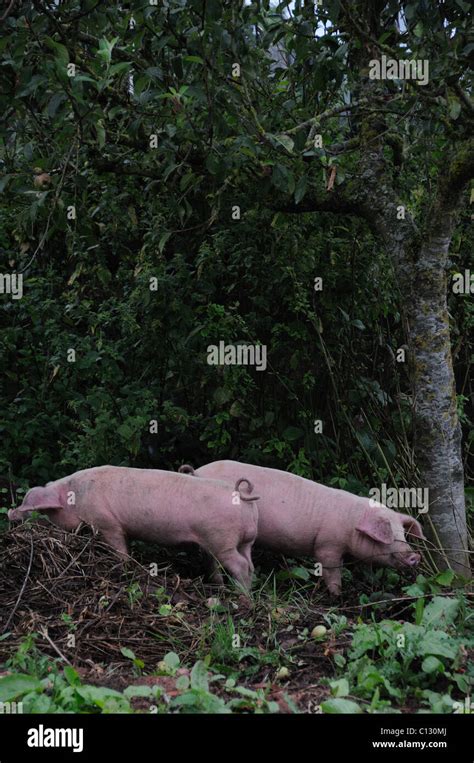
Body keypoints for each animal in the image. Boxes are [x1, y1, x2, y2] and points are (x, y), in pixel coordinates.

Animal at [8, 466, 259, 589]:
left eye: (48, 513)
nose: (10, 513)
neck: (75, 495)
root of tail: (241, 495)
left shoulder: (106, 521)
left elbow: (119, 548)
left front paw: (123, 566)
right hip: (244, 541)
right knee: (249, 565)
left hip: (222, 539)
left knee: (240, 566)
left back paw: (243, 599)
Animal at [179, 461, 425, 596]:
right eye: (388, 535)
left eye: (403, 534)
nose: (415, 556)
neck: (352, 522)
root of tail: (196, 472)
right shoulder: (328, 545)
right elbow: (332, 569)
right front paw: (337, 594)